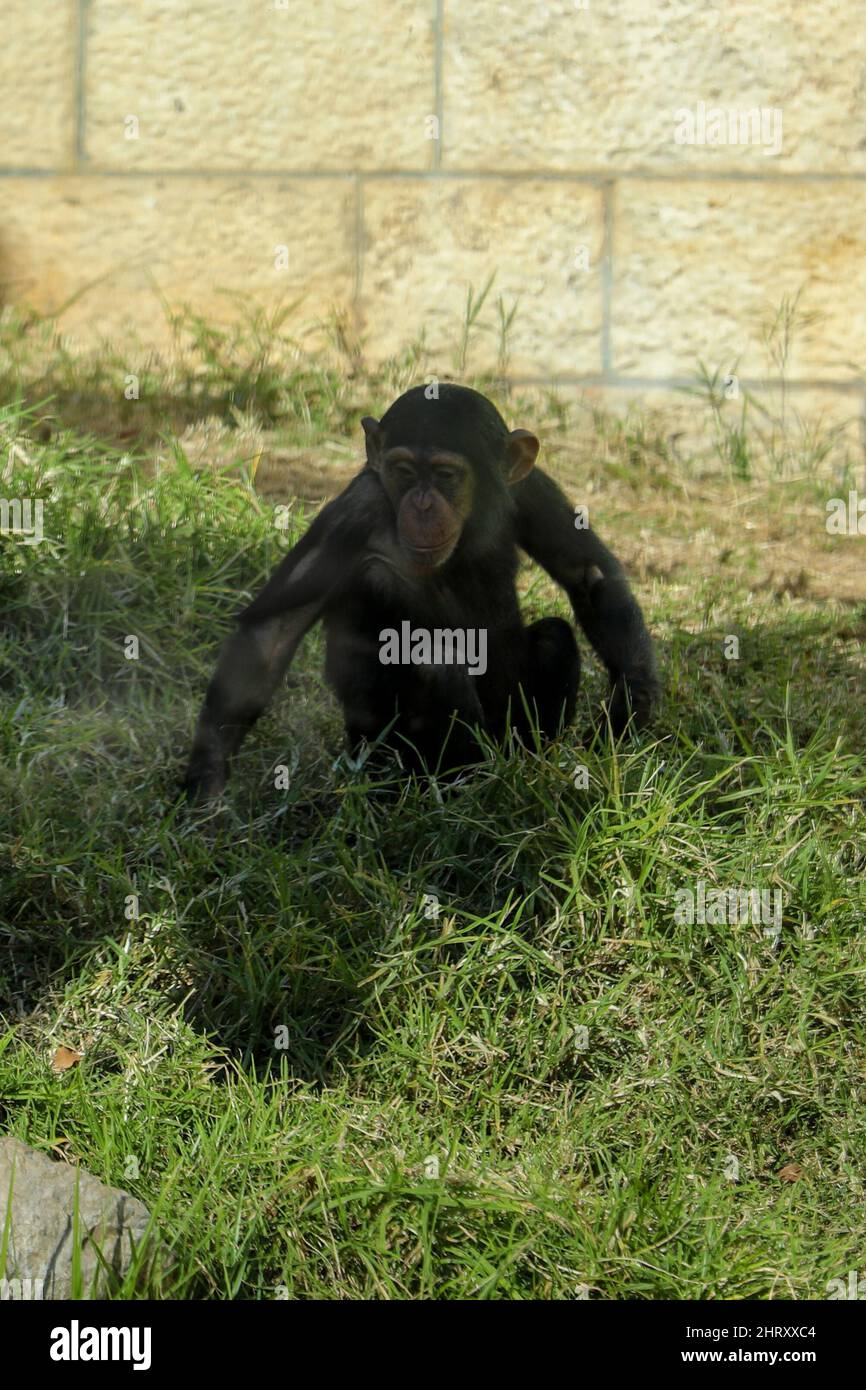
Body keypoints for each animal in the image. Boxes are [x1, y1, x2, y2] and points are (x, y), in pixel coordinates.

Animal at [182, 384, 659, 799]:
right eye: (404, 472)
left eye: (446, 475)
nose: (423, 503)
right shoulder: (353, 510)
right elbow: (274, 631)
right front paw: (207, 789)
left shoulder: (528, 485)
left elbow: (587, 573)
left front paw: (629, 711)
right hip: (373, 756)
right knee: (429, 657)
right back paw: (464, 789)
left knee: (554, 635)